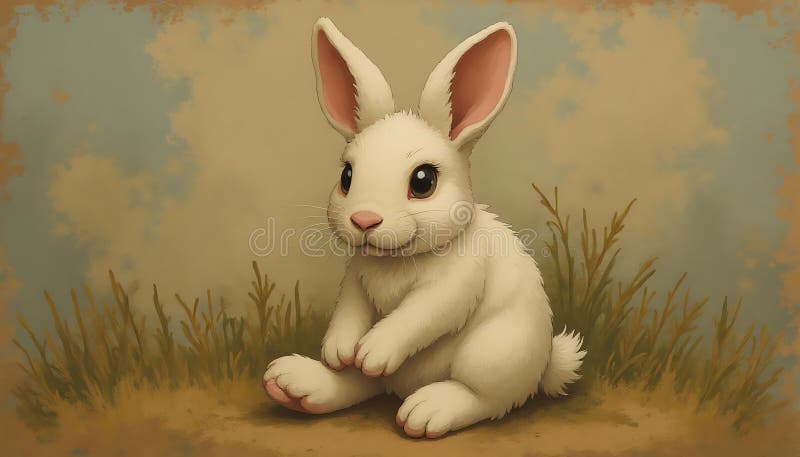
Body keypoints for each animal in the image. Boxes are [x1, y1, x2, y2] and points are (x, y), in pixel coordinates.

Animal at [262, 17, 586, 439]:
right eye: (347, 176)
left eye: (423, 181)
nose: (364, 220)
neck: (396, 260)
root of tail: (546, 362)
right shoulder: (355, 280)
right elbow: (349, 311)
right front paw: (339, 350)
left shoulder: (453, 286)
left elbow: (416, 316)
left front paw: (372, 352)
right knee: (361, 383)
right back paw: (295, 384)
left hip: (492, 353)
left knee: (485, 398)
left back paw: (426, 410)